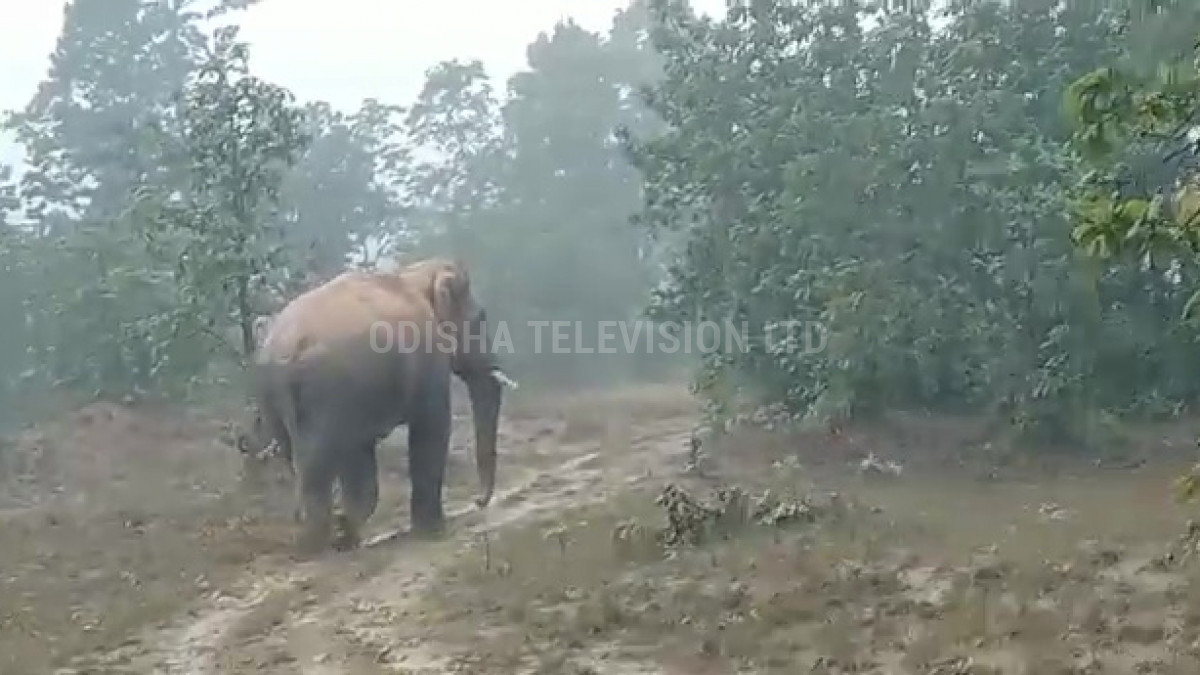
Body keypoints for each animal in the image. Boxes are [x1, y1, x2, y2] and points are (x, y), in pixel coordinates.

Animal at [247, 257, 517, 555]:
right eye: (481, 318)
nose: (478, 501)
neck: (418, 273)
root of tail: (281, 351)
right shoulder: (428, 356)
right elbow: (432, 427)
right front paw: (434, 532)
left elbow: (362, 455)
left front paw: (347, 528)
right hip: (322, 395)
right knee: (316, 461)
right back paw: (315, 543)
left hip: (273, 400)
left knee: (296, 455)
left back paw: (328, 535)